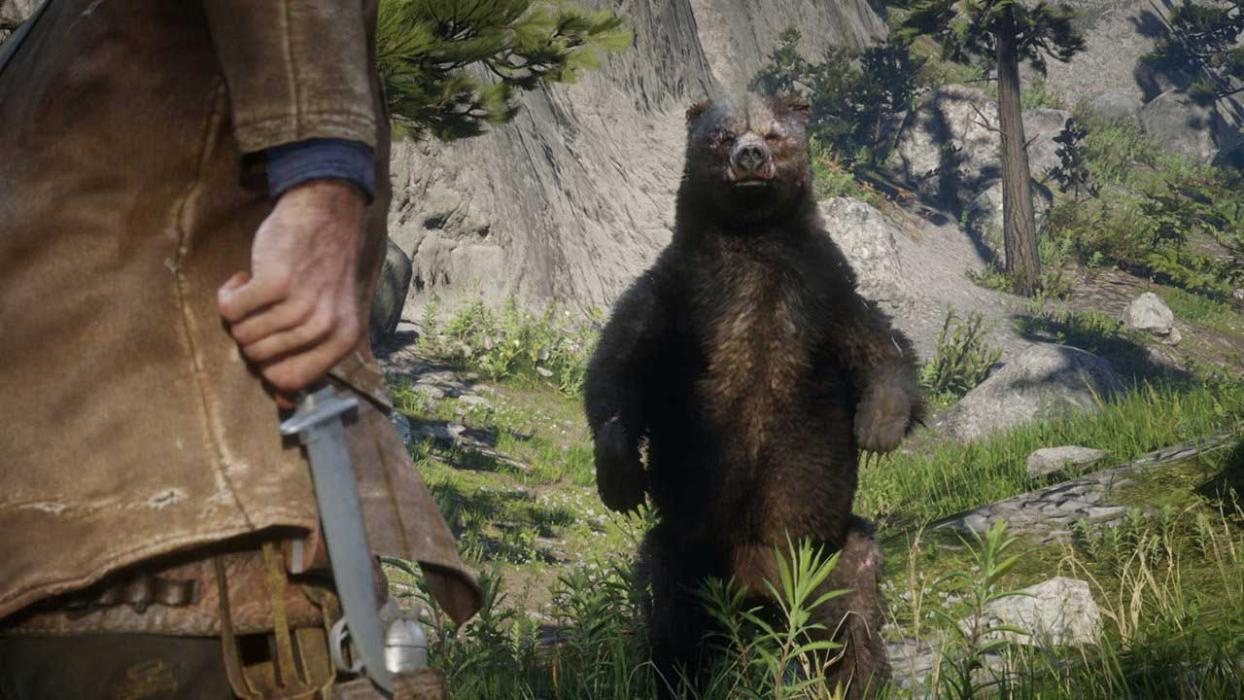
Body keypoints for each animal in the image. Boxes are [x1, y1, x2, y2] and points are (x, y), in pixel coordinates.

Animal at [583, 92, 924, 699]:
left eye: (772, 133)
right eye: (722, 135)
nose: (750, 156)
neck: (752, 240)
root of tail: (758, 594)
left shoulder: (821, 293)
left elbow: (880, 345)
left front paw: (878, 425)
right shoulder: (681, 294)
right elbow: (618, 366)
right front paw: (619, 473)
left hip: (829, 551)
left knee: (854, 612)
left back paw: (862, 678)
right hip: (688, 552)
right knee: (671, 614)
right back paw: (672, 678)